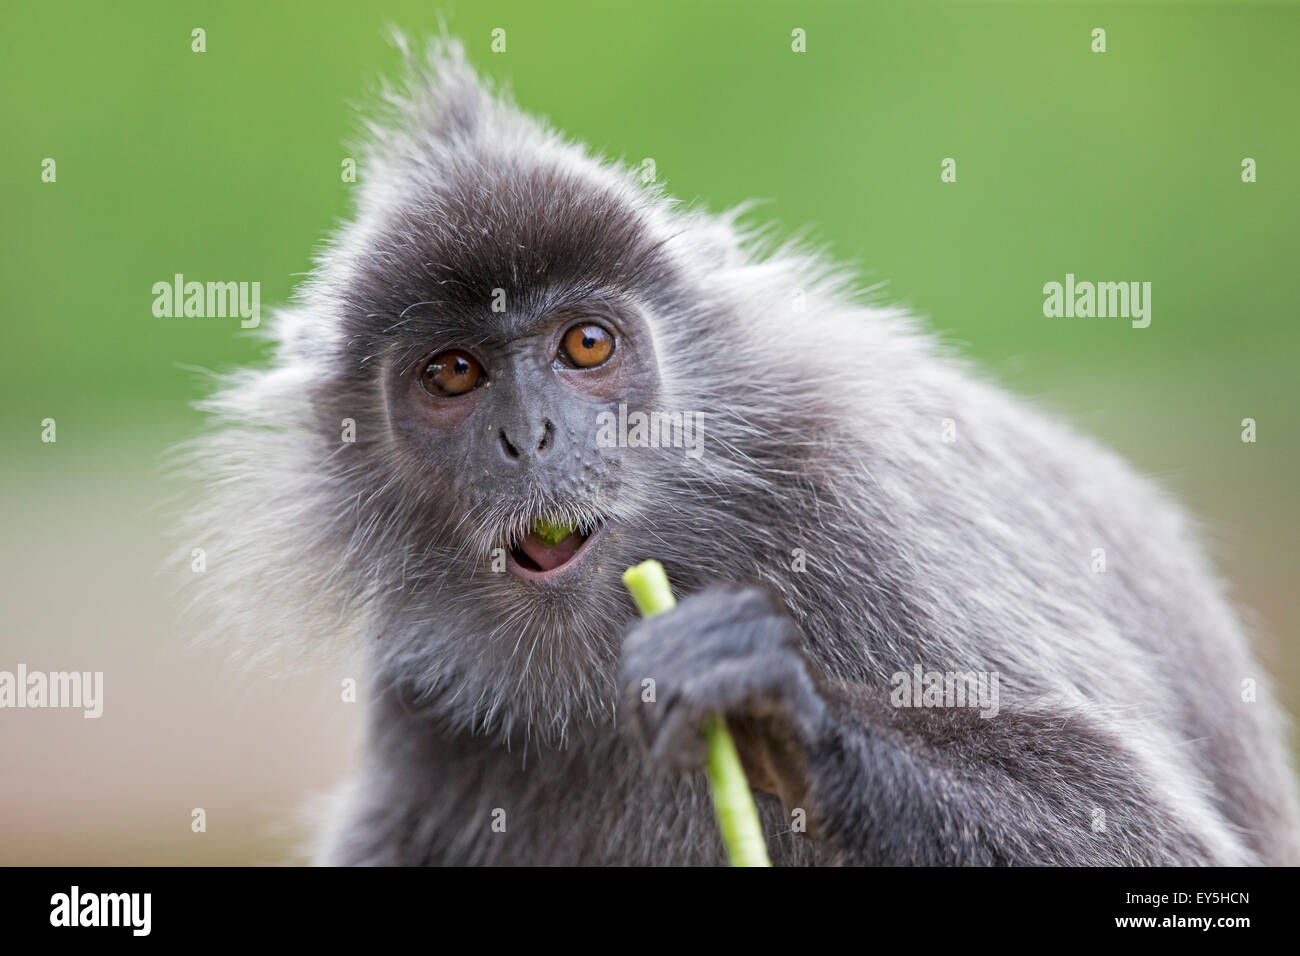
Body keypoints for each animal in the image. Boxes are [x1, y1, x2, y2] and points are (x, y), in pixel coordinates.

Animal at [186, 37, 1300, 865]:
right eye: (454, 372)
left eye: (585, 345)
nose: (528, 435)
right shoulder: (414, 688)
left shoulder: (867, 501)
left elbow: (1148, 835)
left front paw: (774, 699)